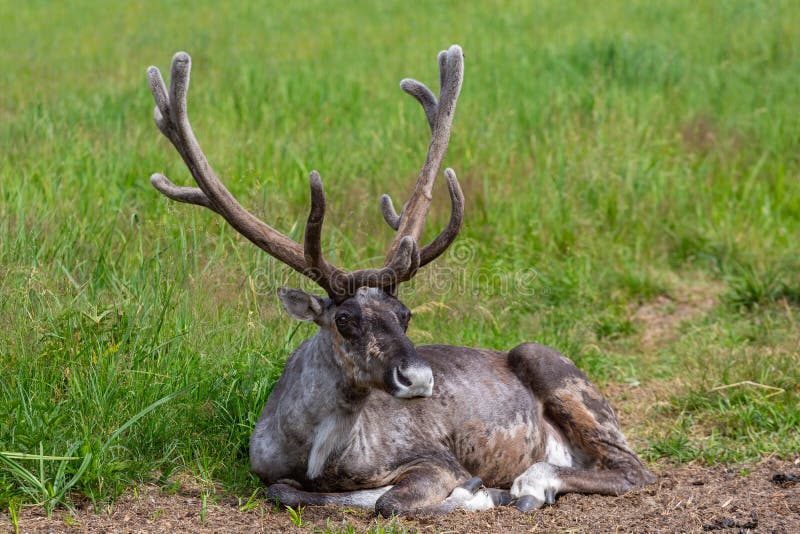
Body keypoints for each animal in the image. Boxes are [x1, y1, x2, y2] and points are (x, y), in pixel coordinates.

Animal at [146, 46, 655, 517]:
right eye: (344, 319)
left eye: (405, 314)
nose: (419, 378)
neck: (317, 453)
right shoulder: (263, 468)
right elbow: (287, 490)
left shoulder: (437, 458)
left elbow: (388, 500)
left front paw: (475, 493)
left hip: (556, 371)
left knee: (634, 469)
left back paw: (532, 482)